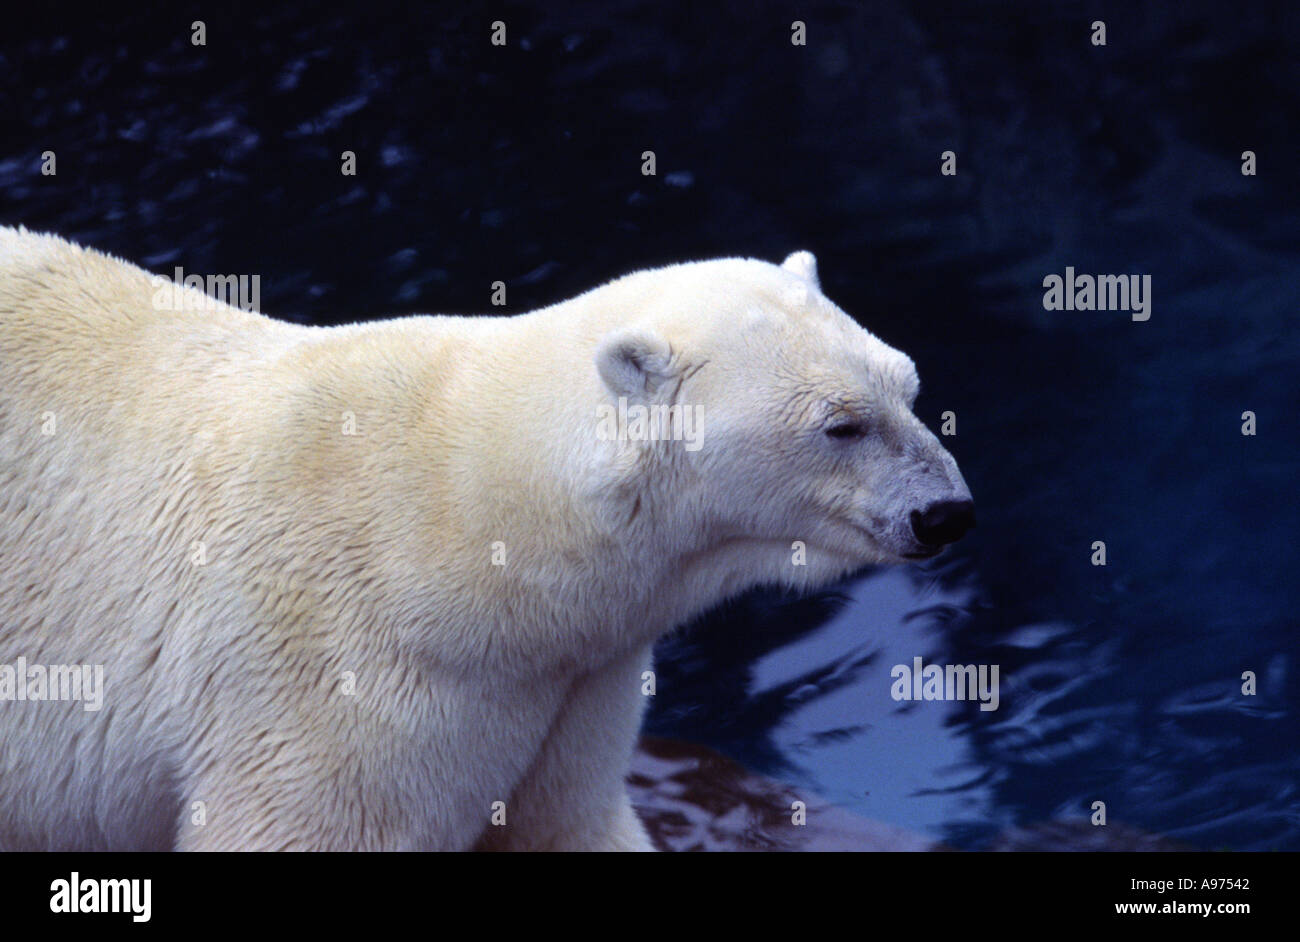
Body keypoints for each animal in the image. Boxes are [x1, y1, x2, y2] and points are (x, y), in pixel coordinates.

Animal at [0, 227, 973, 851]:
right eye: (841, 425)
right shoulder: (335, 686)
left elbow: (565, 824)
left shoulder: (569, 684)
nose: (946, 511)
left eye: (908, 384)